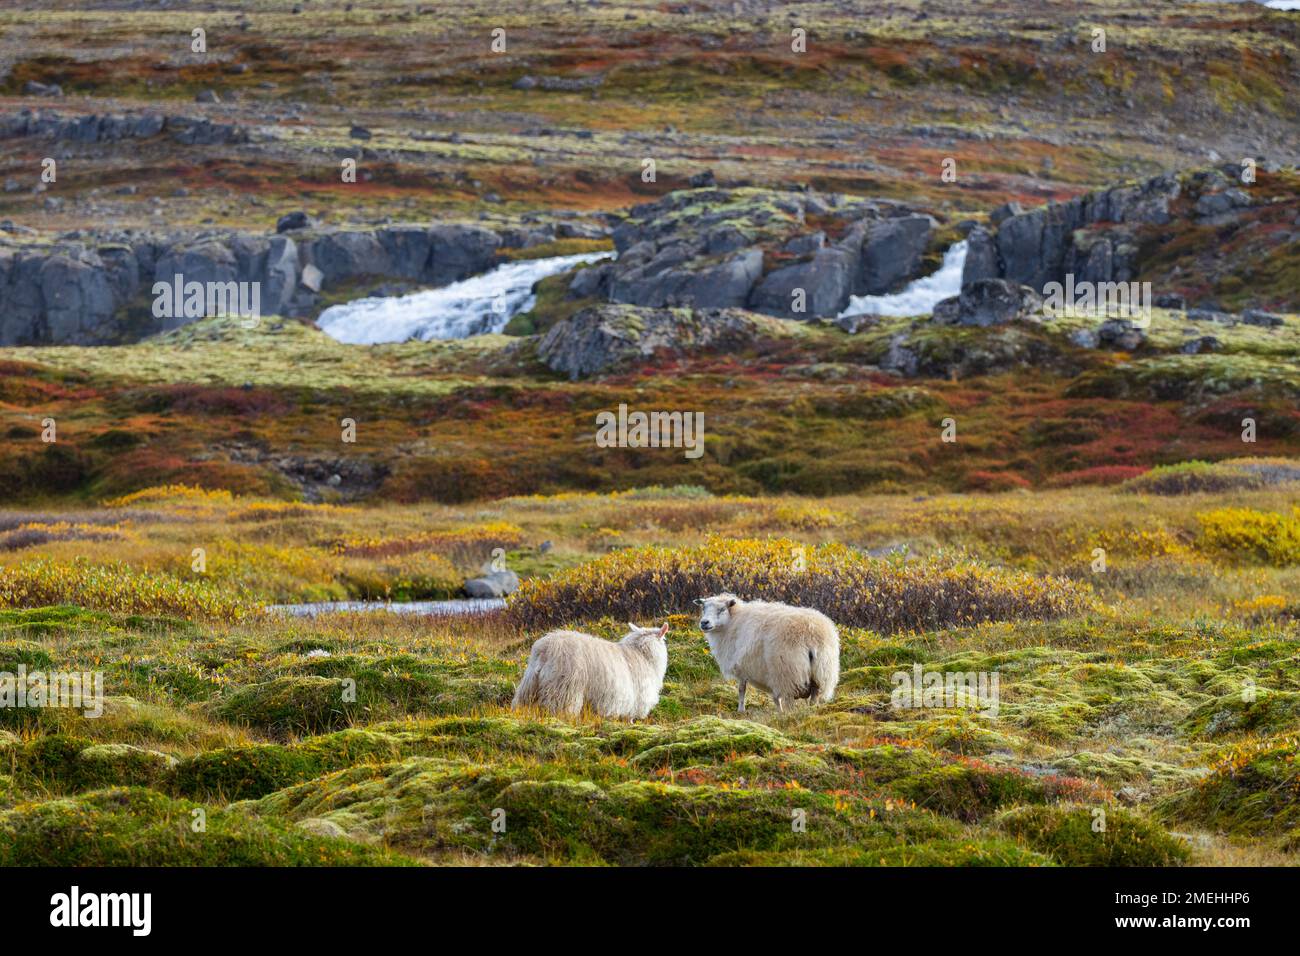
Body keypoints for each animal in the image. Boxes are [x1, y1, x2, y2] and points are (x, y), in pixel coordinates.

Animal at [696, 593, 839, 713]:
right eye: (703, 608)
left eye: (721, 610)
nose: (704, 622)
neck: (732, 621)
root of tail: (811, 633)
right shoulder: (770, 674)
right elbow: (775, 697)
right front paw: (778, 712)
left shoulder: (743, 667)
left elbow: (742, 689)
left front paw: (741, 710)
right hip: (822, 672)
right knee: (814, 697)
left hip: (789, 672)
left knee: (790, 700)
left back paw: (790, 715)